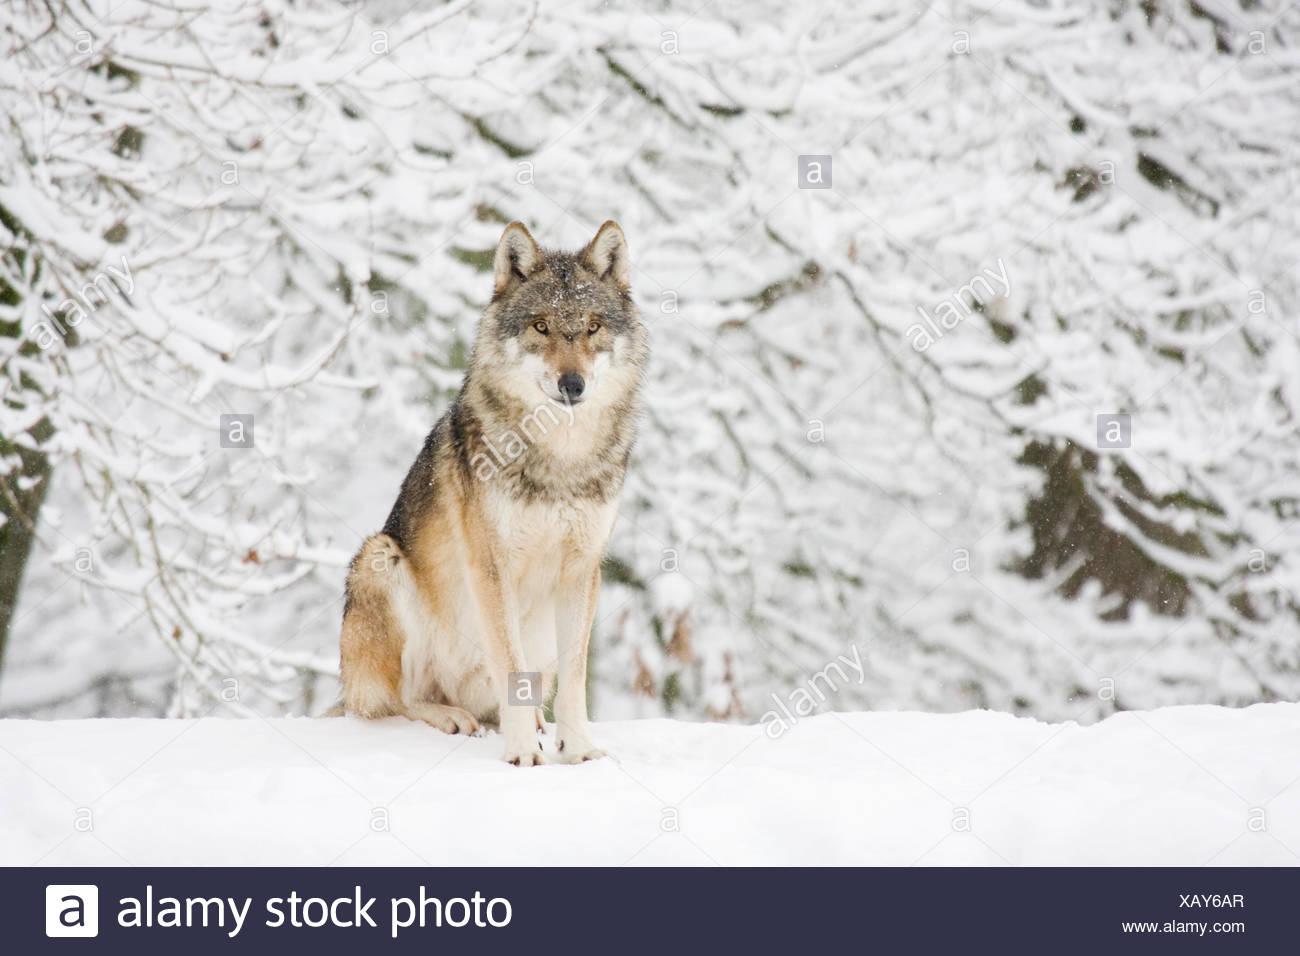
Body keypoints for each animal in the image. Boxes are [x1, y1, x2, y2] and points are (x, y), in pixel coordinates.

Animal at [337, 220, 647, 766]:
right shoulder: (491, 567)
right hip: (379, 558)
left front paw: (577, 749)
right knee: (391, 702)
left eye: (592, 327)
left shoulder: (583, 569)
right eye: (541, 326)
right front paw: (523, 754)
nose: (572, 384)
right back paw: (452, 717)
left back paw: (535, 723)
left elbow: (576, 679)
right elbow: (512, 669)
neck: (560, 459)